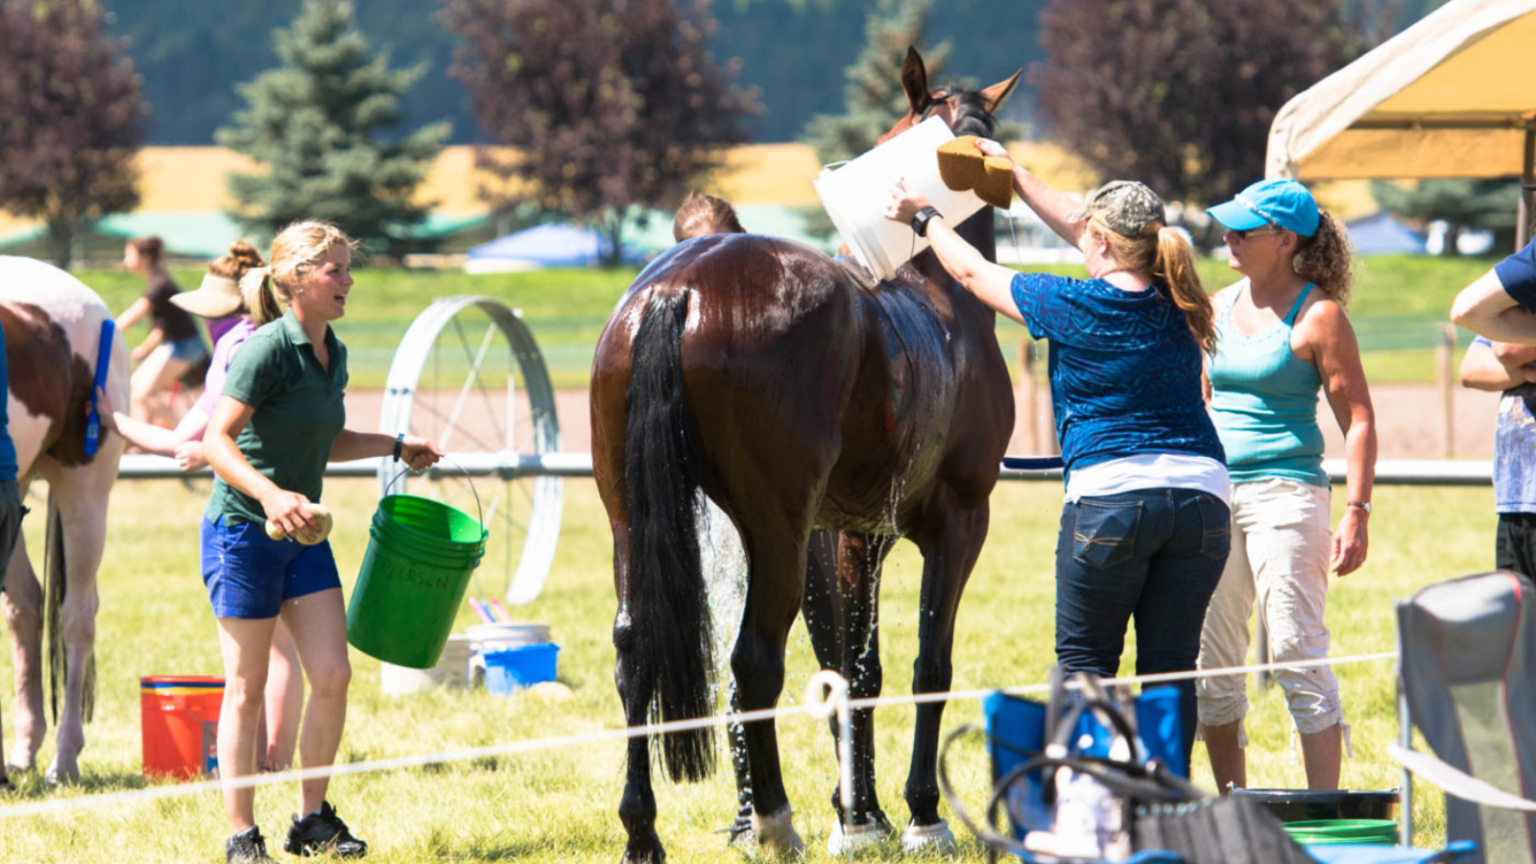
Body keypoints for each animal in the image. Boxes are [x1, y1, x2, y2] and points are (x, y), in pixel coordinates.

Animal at [591, 48, 1021, 861]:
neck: (933, 286)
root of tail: (677, 290)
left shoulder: (851, 534)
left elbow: (858, 669)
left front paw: (861, 814)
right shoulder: (961, 523)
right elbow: (930, 663)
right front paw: (922, 813)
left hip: (630, 518)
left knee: (634, 652)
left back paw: (641, 831)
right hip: (773, 531)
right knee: (754, 660)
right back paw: (772, 822)